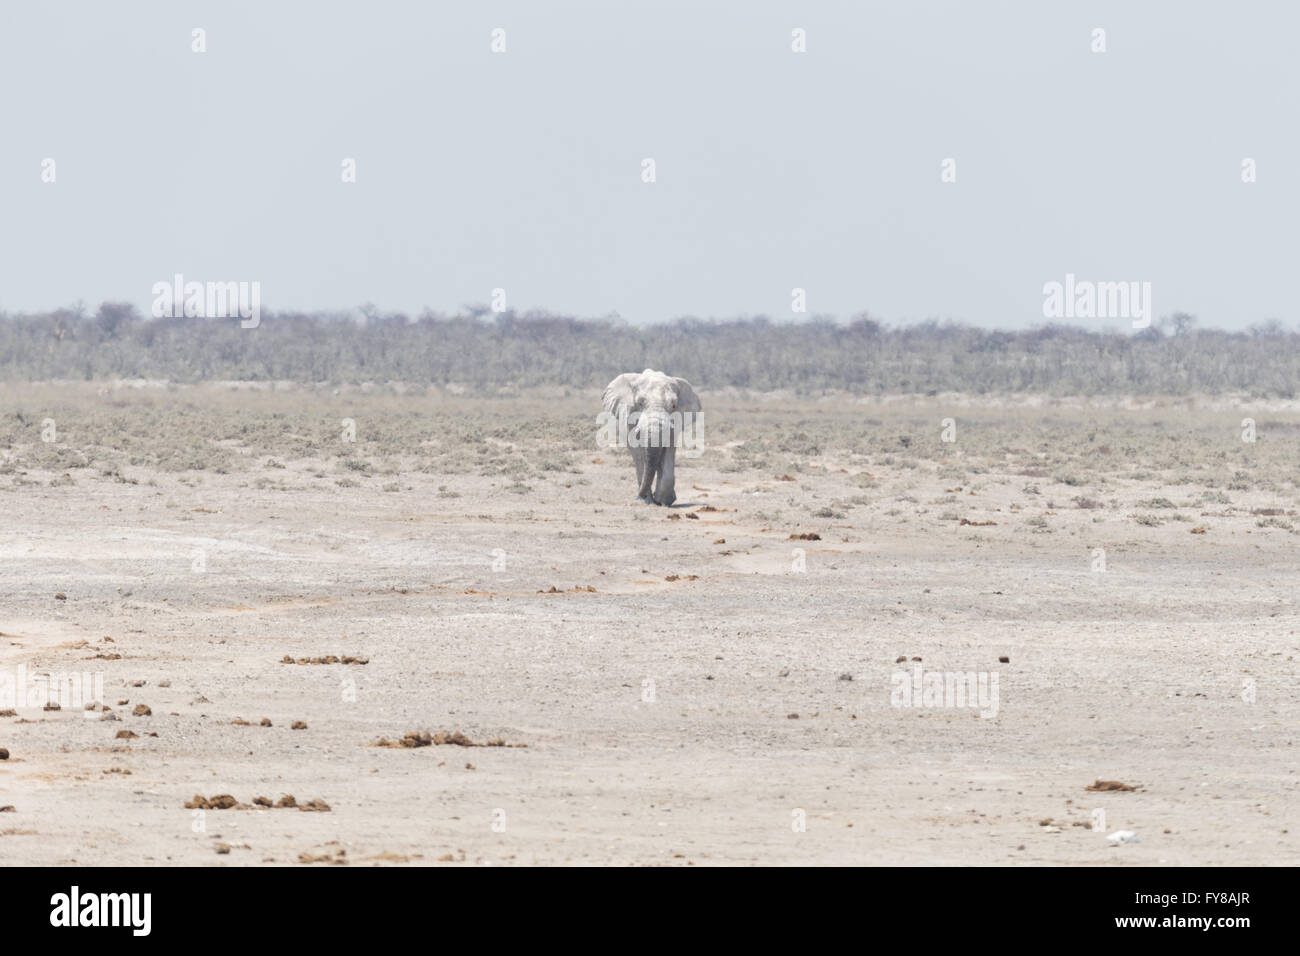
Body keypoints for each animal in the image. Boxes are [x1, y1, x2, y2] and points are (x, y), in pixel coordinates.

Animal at [602, 369, 701, 506]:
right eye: (640, 403)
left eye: (674, 406)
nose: (638, 496)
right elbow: (638, 452)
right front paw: (647, 501)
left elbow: (668, 449)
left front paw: (663, 501)